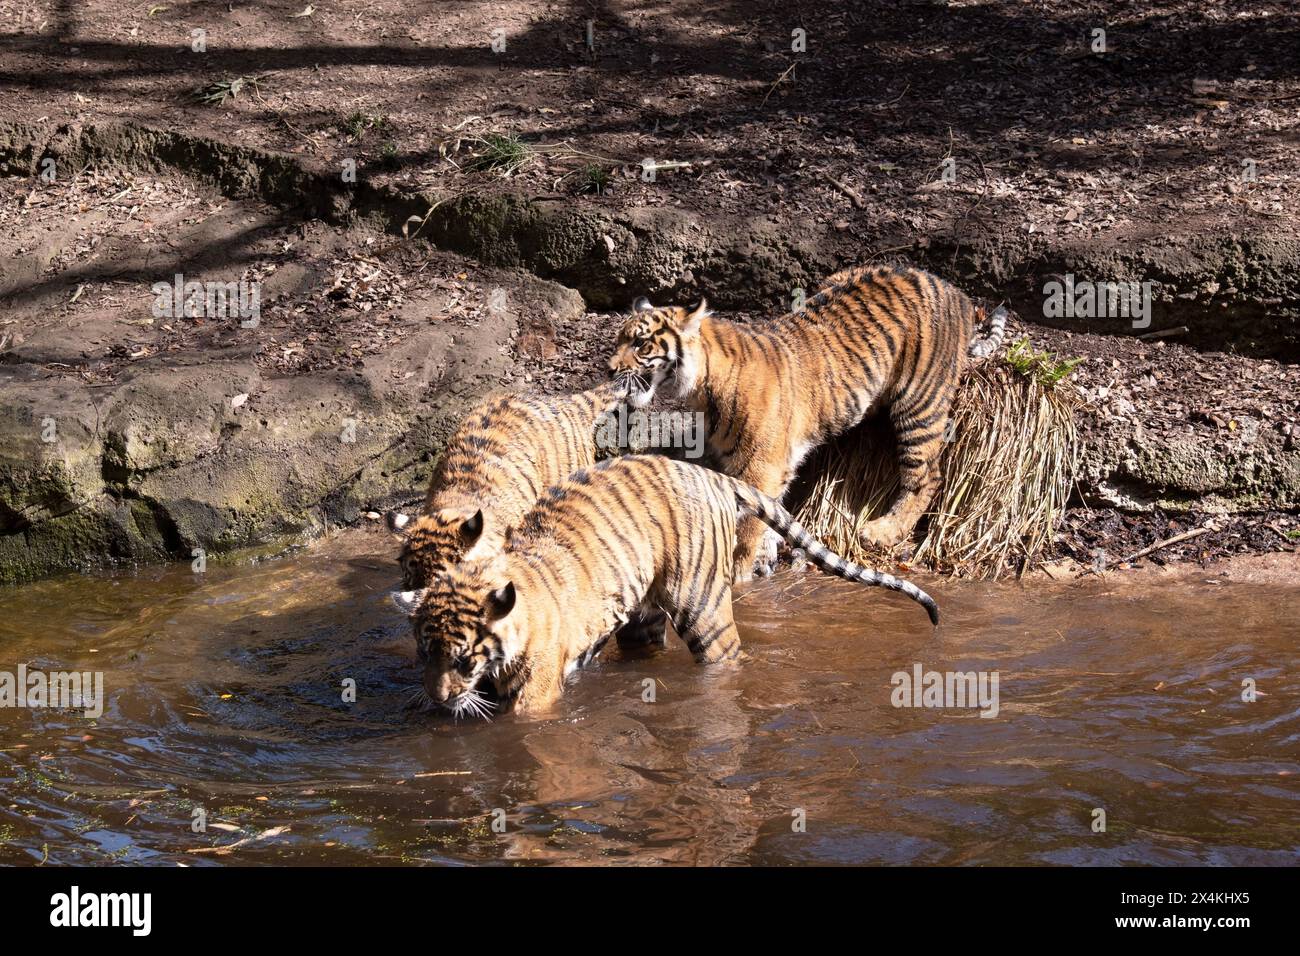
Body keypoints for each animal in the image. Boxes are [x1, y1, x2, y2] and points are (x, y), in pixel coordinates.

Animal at [390, 454, 939, 718]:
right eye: (425, 653)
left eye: (465, 660)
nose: (438, 699)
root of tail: (712, 476)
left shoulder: (536, 693)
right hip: (641, 611)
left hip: (703, 607)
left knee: (725, 656)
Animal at [607, 265, 1007, 581]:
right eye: (618, 339)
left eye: (641, 344)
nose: (609, 369)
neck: (701, 388)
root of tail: (958, 294)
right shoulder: (765, 466)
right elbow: (769, 518)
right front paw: (764, 562)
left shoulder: (761, 468)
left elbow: (747, 528)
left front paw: (738, 577)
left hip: (920, 402)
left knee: (928, 475)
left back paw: (883, 531)